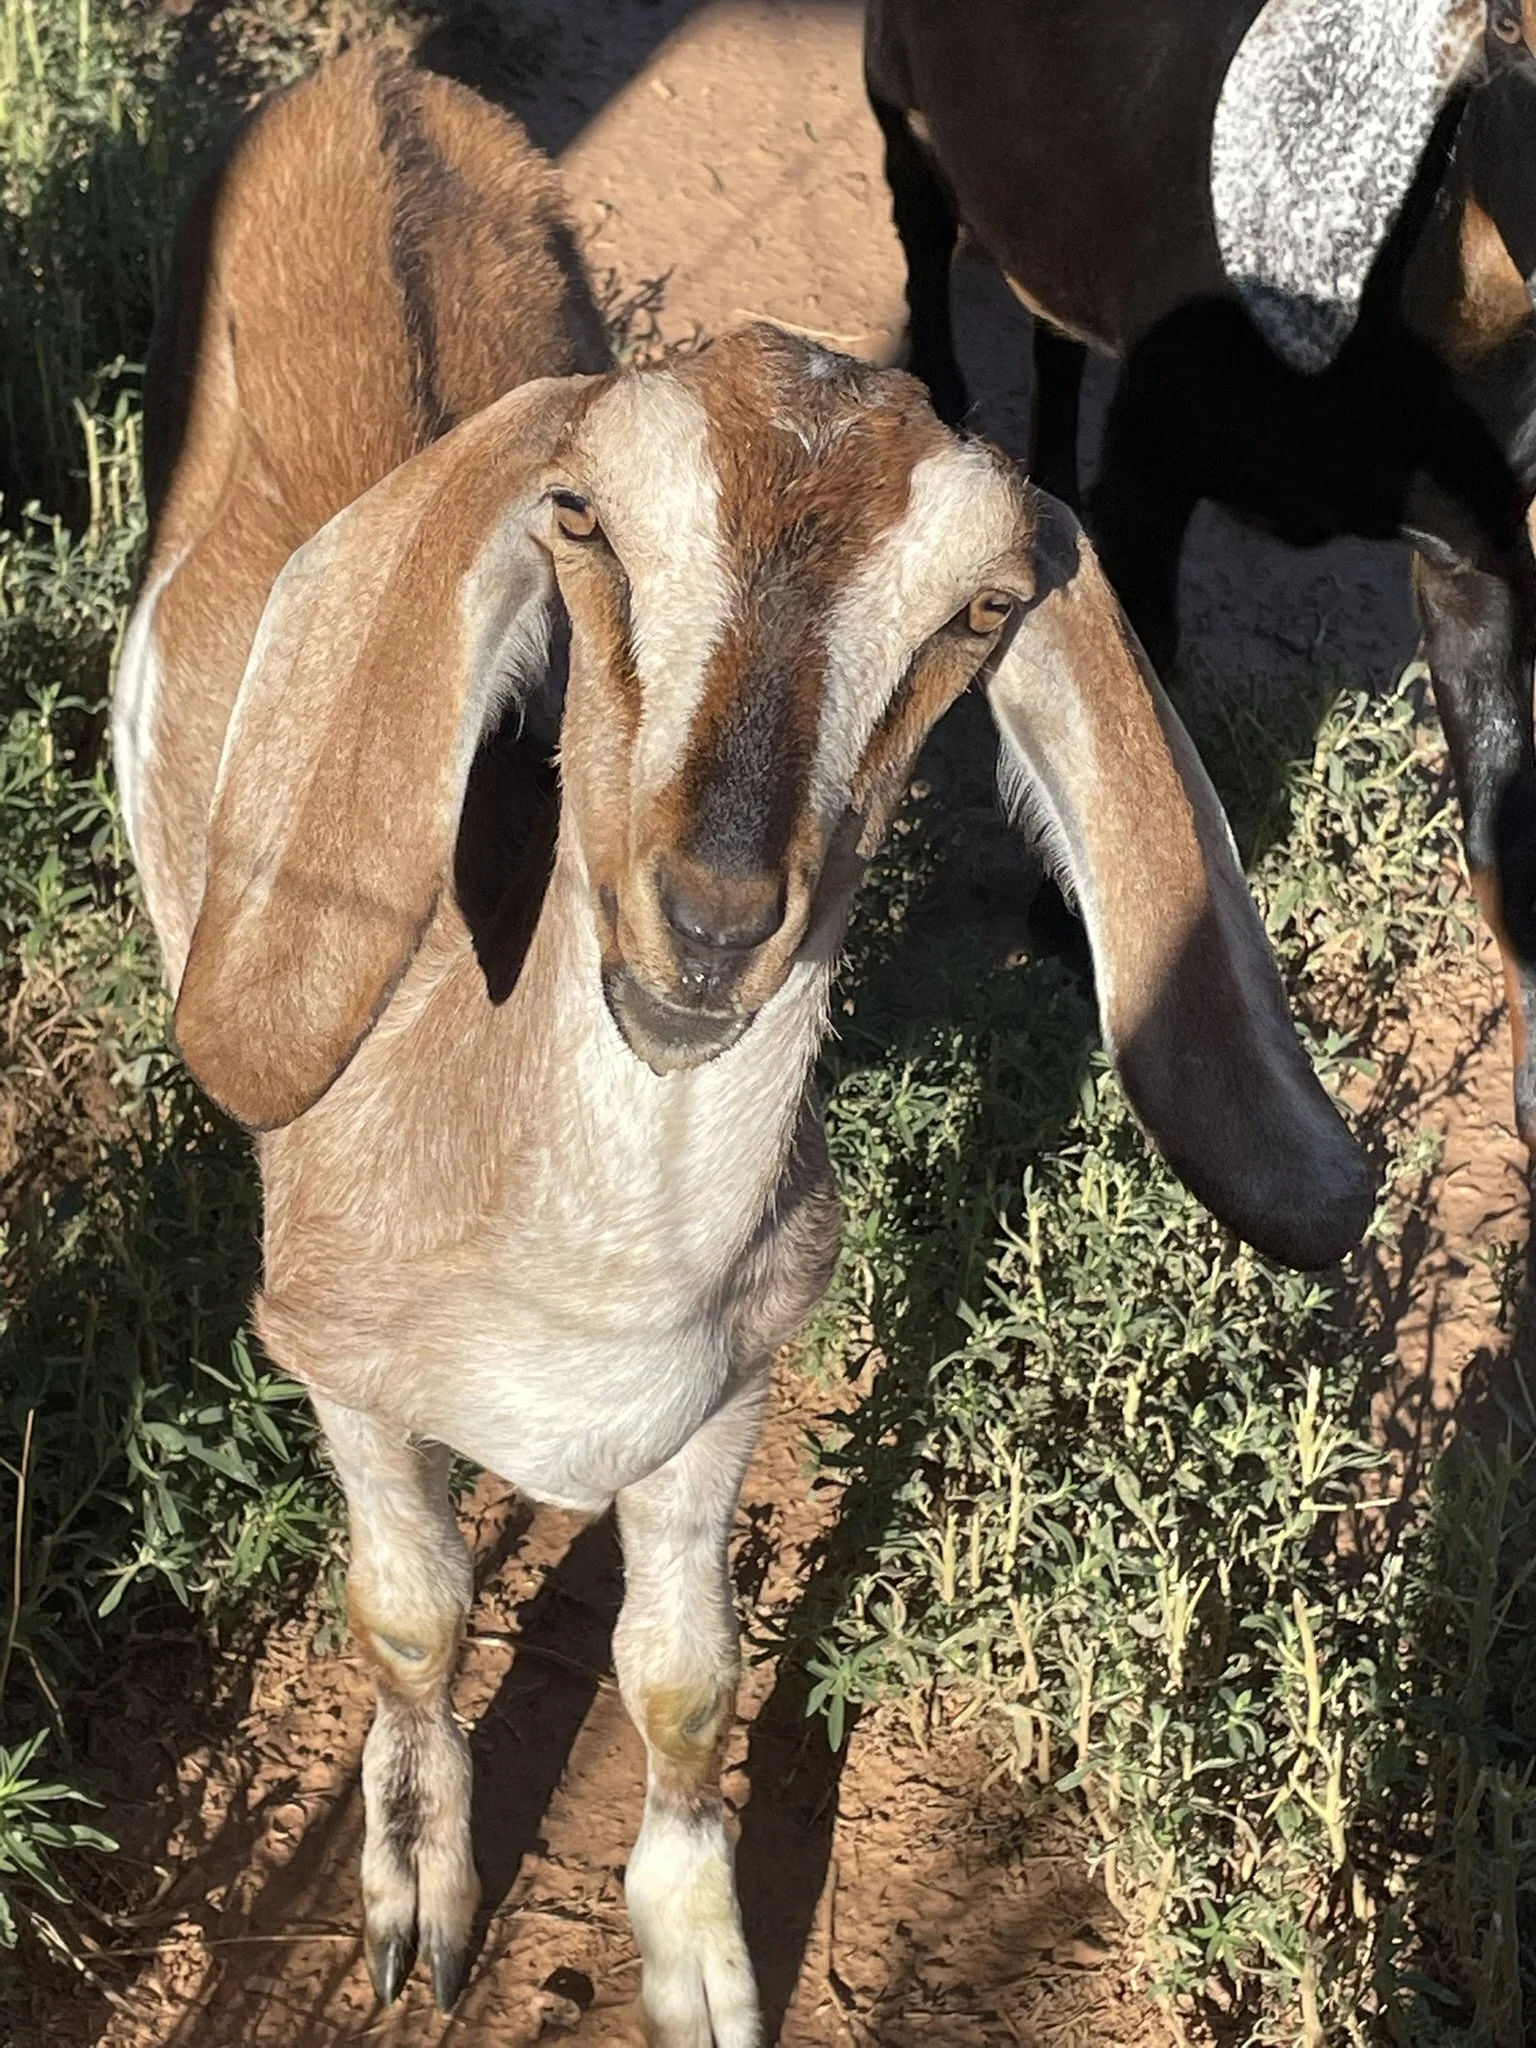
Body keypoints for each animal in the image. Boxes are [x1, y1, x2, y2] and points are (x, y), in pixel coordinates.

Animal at [115, 44, 1370, 2045]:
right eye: (580, 521)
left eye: (981, 609)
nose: (707, 923)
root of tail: (374, 69)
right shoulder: (338, 1361)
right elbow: (413, 1609)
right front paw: (413, 1896)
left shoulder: (724, 1392)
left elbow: (683, 1670)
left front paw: (697, 1955)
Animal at [868, 0, 1536, 1145]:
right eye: (1509, 31)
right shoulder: (1155, 452)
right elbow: (1139, 684)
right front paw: (1070, 918)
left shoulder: (1480, 558)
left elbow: (1504, 816)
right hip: (898, 86)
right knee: (924, 228)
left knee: (1050, 327)